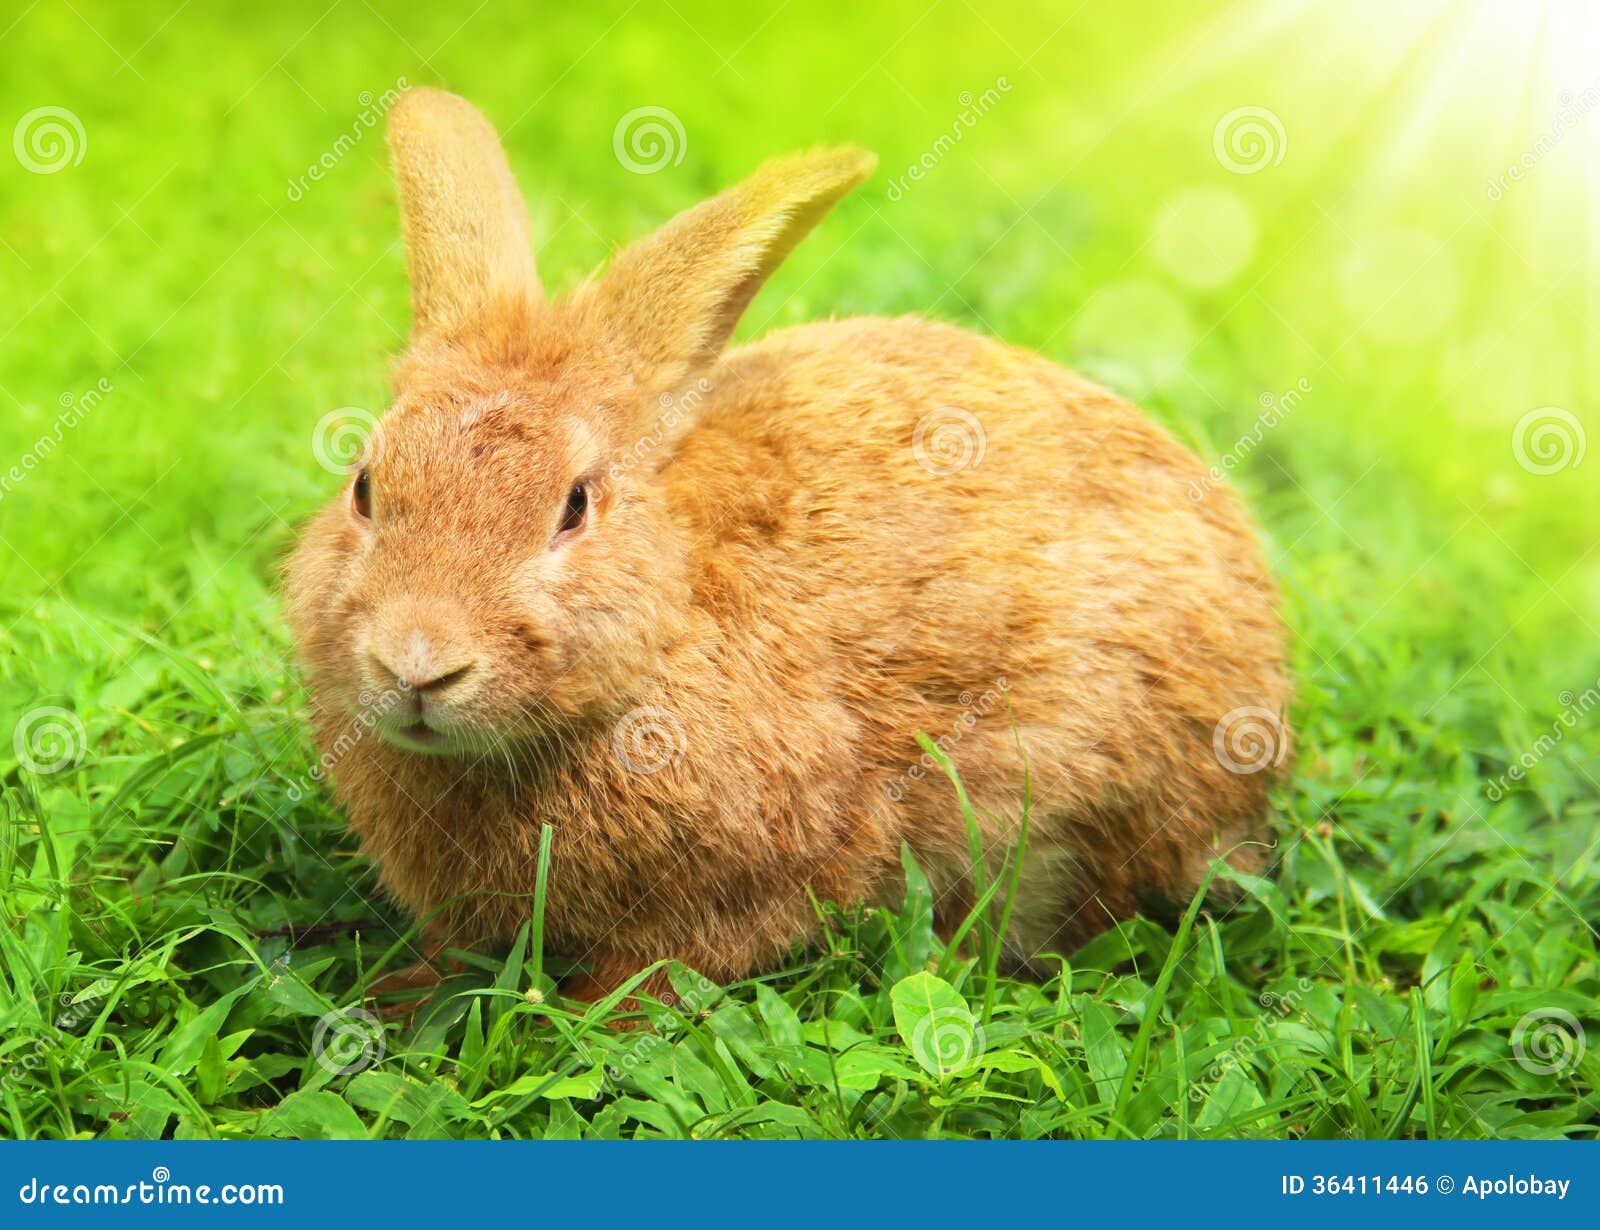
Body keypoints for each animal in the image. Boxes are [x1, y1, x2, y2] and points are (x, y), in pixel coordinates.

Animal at [284, 88, 1292, 1007]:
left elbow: (657, 975)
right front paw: (402, 994)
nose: (416, 664)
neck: (668, 631)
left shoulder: (745, 882)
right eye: (365, 486)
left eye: (574, 506)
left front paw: (584, 1021)